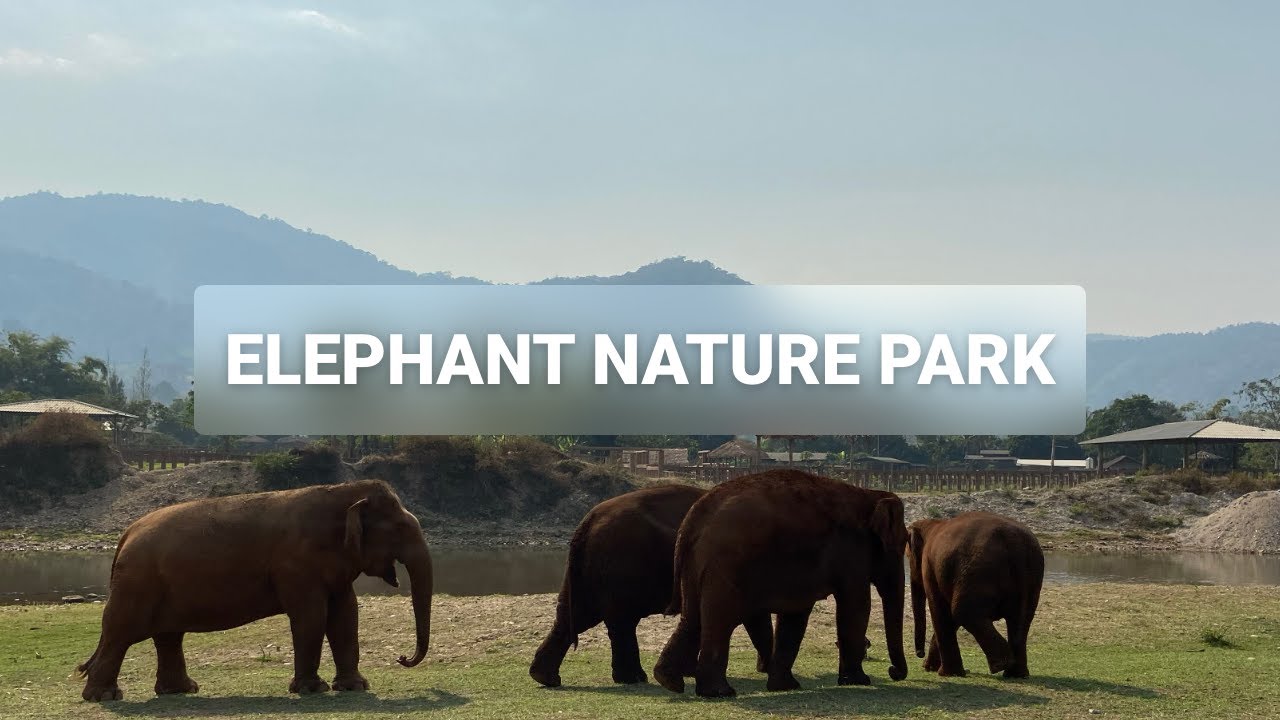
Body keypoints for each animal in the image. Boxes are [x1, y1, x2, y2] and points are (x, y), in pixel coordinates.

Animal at [77, 479, 433, 702]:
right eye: (400, 528)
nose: (403, 658)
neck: (342, 493)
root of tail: (126, 533)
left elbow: (345, 615)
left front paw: (354, 687)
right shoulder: (295, 565)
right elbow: (311, 615)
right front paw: (311, 689)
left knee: (167, 636)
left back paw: (182, 690)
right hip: (137, 583)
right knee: (120, 633)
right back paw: (104, 697)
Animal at [529, 483, 775, 687]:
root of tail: (586, 522)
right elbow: (754, 616)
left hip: (589, 572)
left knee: (576, 616)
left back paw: (546, 678)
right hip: (620, 566)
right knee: (620, 622)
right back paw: (633, 679)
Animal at [653, 469, 909, 698]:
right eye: (902, 543)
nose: (893, 672)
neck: (868, 495)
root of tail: (692, 520)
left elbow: (796, 614)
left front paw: (786, 687)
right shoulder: (851, 550)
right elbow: (856, 605)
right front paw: (859, 681)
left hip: (697, 565)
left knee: (693, 617)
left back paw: (669, 681)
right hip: (725, 566)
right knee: (720, 620)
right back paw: (719, 692)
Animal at [907, 511, 1044, 679]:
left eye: (907, 557)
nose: (920, 654)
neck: (933, 524)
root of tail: (1015, 542)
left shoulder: (930, 567)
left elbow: (941, 610)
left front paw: (945, 673)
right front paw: (932, 668)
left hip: (978, 572)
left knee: (963, 612)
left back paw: (1001, 665)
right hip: (1032, 574)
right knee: (1020, 619)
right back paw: (1015, 673)